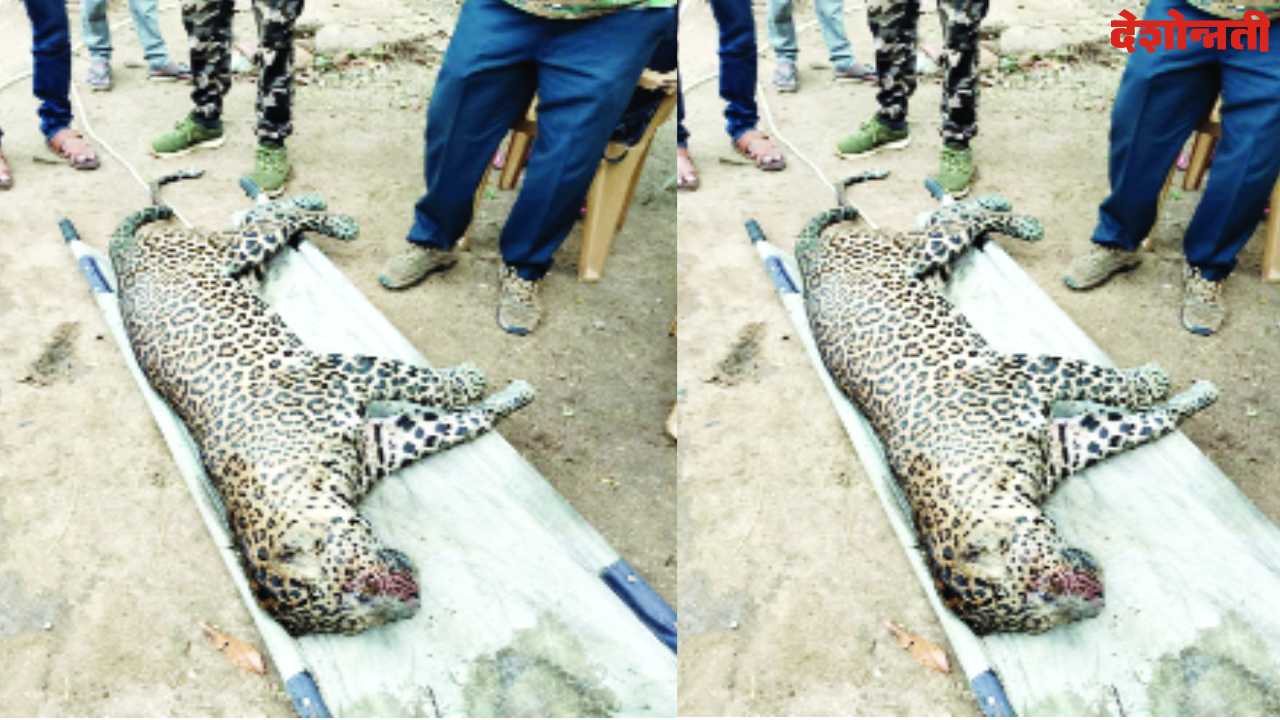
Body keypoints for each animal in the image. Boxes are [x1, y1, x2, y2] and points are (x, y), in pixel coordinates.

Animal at [108, 197, 535, 635]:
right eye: (351, 625)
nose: (412, 605)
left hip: (234, 252)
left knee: (272, 221)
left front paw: (469, 380)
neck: (309, 477)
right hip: (247, 273)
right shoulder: (386, 441)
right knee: (264, 218)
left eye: (362, 587)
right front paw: (509, 396)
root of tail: (121, 260)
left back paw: (333, 219)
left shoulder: (344, 371)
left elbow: (422, 382)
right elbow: (455, 424)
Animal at [794, 195, 1218, 634]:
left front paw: (1154, 380)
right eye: (1037, 623)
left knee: (958, 221)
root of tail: (808, 260)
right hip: (932, 272)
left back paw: (1019, 220)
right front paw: (1192, 397)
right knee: (950, 219)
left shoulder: (1030, 371)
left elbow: (1107, 382)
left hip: (920, 252)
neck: (994, 478)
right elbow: (1141, 424)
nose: (1097, 604)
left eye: (1046, 588)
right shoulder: (1071, 441)